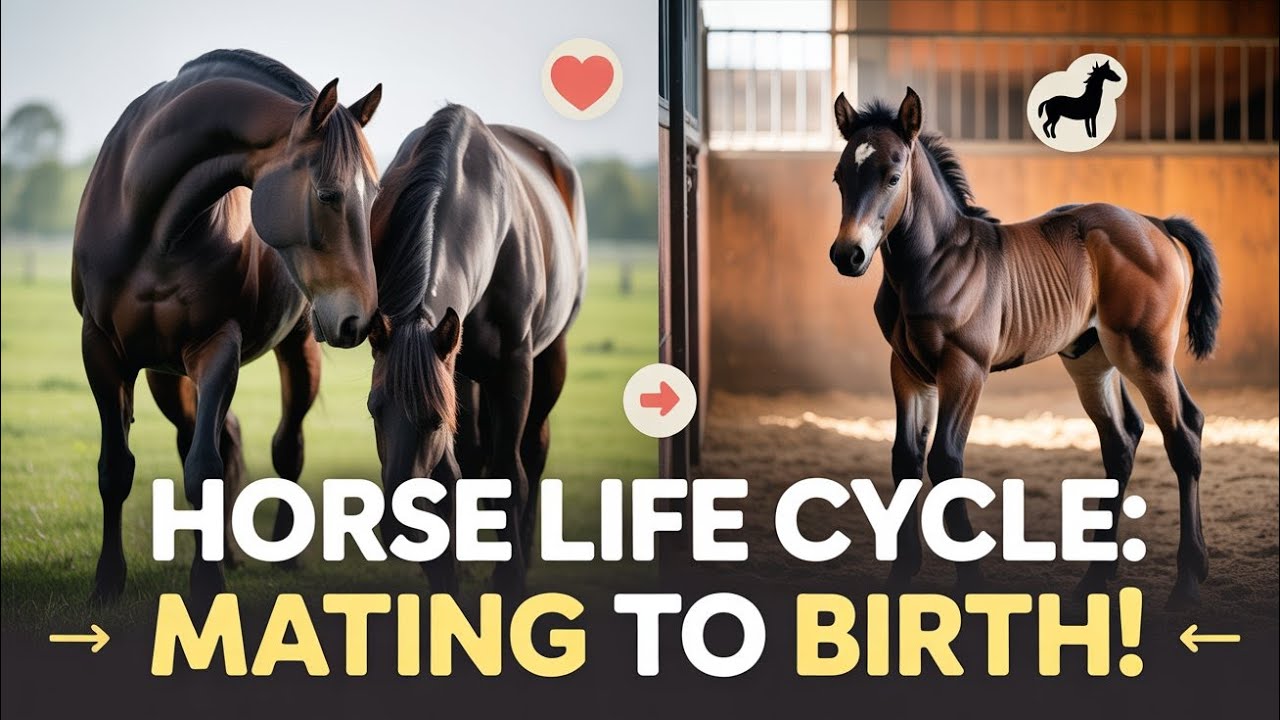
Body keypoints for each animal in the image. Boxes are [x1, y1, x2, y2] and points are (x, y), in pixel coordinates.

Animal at [72, 49, 382, 604]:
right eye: (328, 195)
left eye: (374, 197)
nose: (360, 319)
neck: (152, 224)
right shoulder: (102, 351)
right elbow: (117, 469)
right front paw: (107, 582)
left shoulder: (217, 346)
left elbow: (205, 468)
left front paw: (207, 584)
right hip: (165, 376)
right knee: (213, 435)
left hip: (296, 350)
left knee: (286, 446)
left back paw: (281, 555)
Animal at [366, 104, 587, 596]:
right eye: (374, 408)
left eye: (434, 418)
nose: (395, 527)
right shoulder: (450, 369)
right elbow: (451, 476)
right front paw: (446, 573)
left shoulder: (512, 370)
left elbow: (510, 471)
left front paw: (511, 578)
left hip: (549, 359)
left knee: (533, 451)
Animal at [828, 88, 1222, 609]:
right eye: (839, 177)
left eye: (893, 176)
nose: (847, 255)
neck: (932, 263)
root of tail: (1157, 224)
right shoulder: (907, 369)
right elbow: (905, 459)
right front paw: (898, 580)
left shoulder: (965, 368)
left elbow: (945, 461)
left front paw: (970, 586)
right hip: (1095, 359)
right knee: (1125, 439)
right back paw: (1094, 579)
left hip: (1146, 353)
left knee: (1181, 438)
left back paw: (1186, 582)